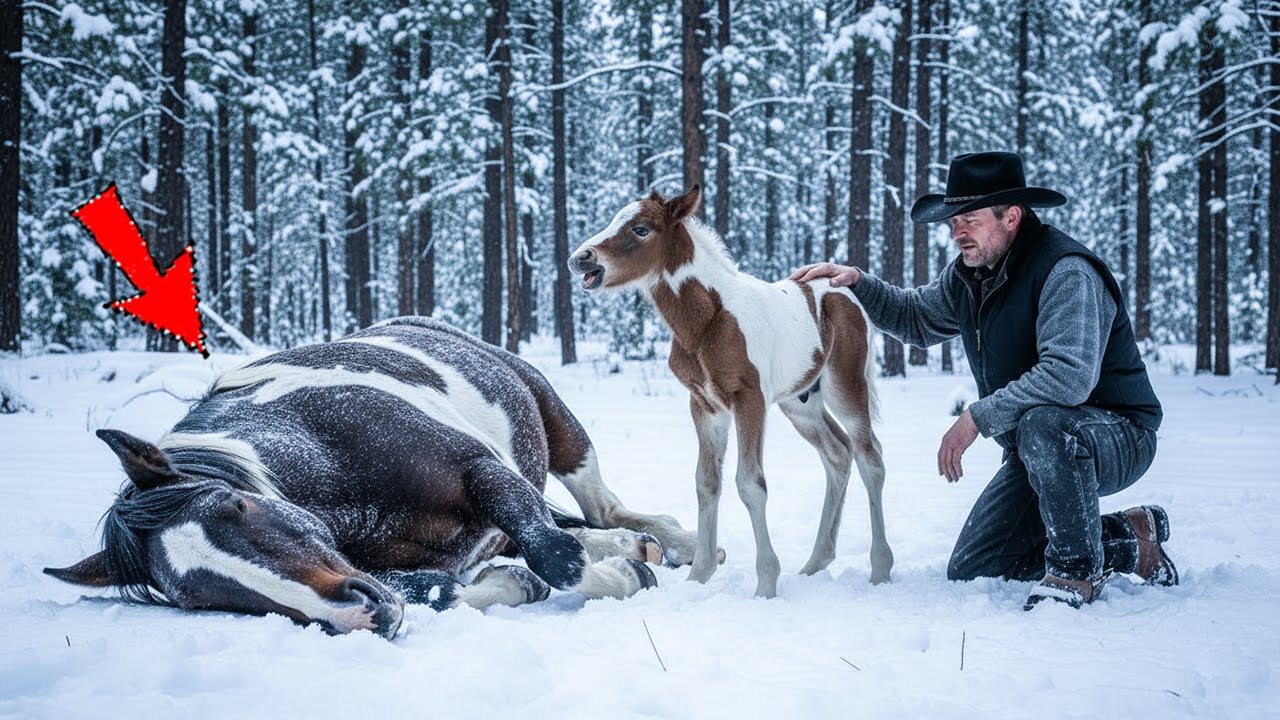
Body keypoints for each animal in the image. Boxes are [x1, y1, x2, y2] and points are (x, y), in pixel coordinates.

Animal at [45, 317, 699, 638]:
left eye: (236, 506)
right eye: (195, 597)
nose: (361, 616)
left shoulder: (481, 468)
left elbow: (554, 555)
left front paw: (619, 577)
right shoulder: (382, 569)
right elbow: (441, 589)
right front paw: (517, 585)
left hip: (555, 423)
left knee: (596, 509)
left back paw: (672, 543)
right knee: (572, 526)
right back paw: (631, 546)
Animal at [567, 185, 892, 598]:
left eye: (641, 229)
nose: (580, 259)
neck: (709, 321)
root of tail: (845, 292)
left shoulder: (749, 399)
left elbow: (750, 484)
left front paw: (766, 584)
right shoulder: (705, 405)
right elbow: (707, 482)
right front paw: (699, 575)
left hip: (845, 385)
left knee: (870, 458)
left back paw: (880, 568)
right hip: (800, 403)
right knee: (837, 454)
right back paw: (815, 563)